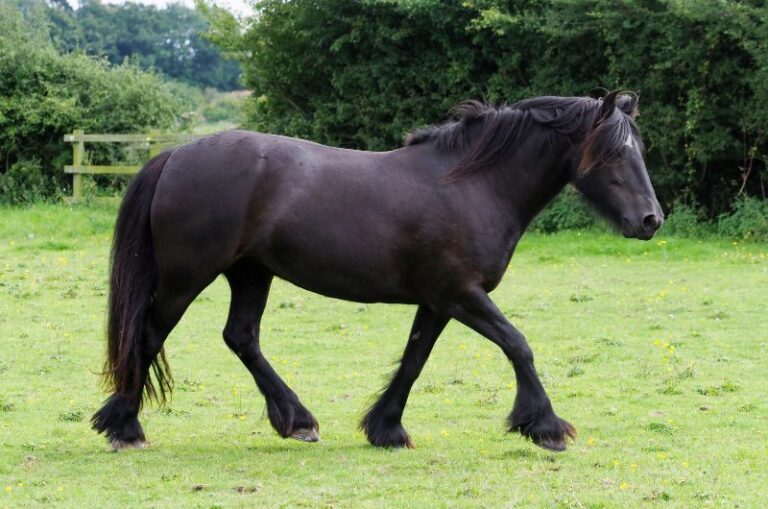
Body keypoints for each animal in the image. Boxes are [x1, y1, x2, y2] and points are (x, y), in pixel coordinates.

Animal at [92, 91, 663, 452]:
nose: (650, 220)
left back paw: (297, 421)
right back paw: (126, 428)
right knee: (148, 335)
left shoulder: (438, 301)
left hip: (251, 273)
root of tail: (175, 156)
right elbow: (518, 345)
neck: (472, 185)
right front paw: (545, 427)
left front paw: (385, 429)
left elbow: (413, 360)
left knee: (241, 337)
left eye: (639, 150)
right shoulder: (462, 294)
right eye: (613, 154)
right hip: (186, 277)